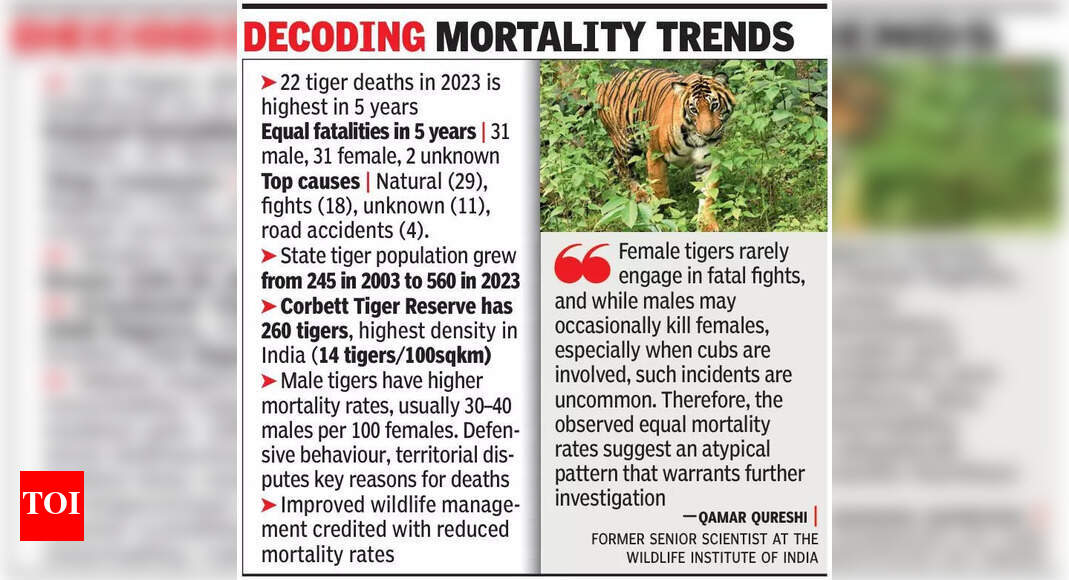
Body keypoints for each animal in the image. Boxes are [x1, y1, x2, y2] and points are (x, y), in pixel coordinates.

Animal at [595, 68, 735, 231]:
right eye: (694, 110)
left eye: (714, 105)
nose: (708, 133)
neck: (695, 139)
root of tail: (606, 81)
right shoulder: (655, 153)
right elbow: (659, 187)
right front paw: (657, 216)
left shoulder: (708, 162)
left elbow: (708, 195)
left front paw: (707, 224)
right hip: (625, 141)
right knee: (622, 166)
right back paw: (639, 194)